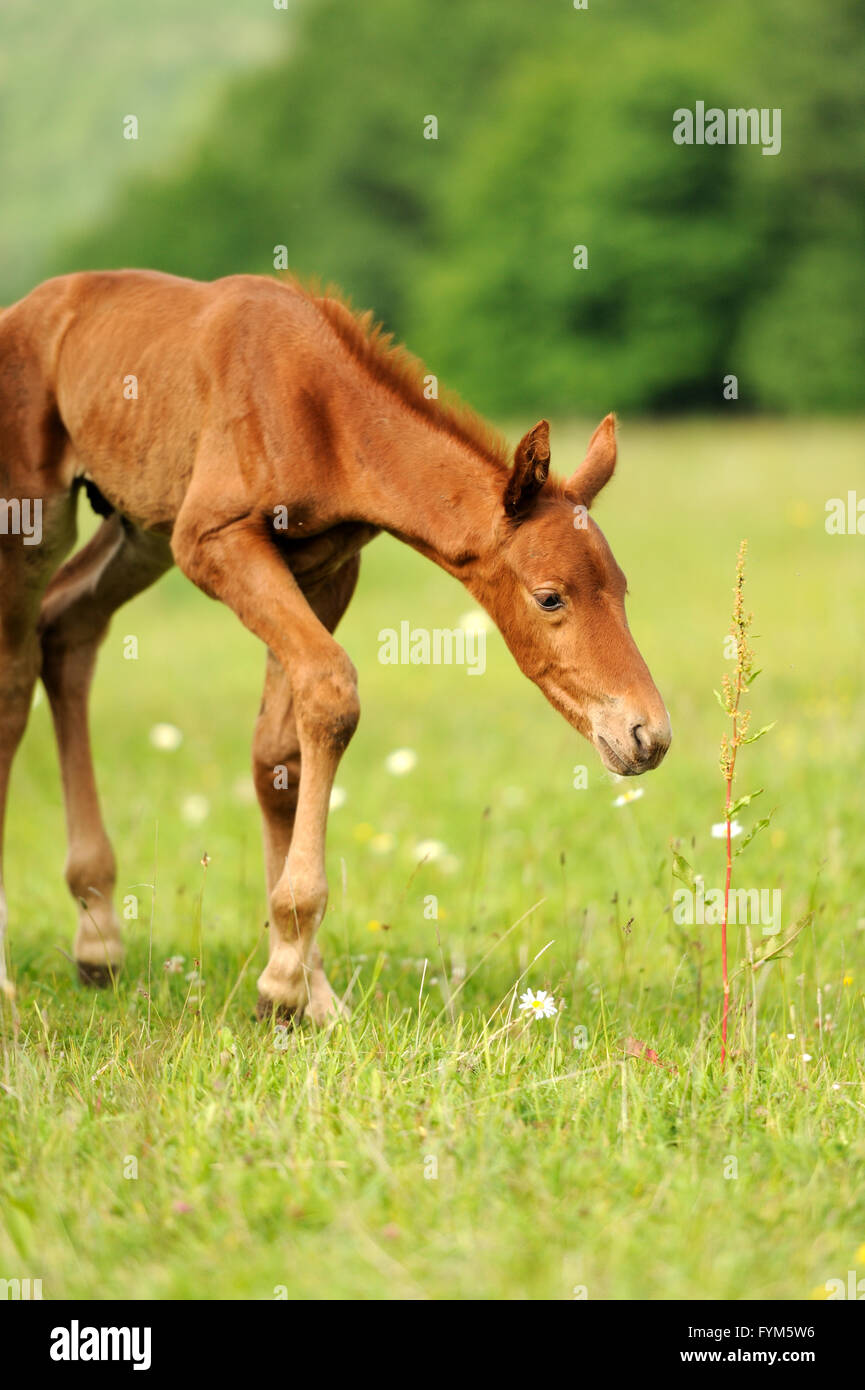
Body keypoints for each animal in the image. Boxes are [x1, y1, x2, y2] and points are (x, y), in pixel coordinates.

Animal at [0, 269, 671, 1020]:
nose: (647, 735)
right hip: (33, 517)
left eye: (621, 589)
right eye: (550, 597)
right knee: (12, 682)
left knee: (67, 626)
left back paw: (98, 937)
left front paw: (302, 988)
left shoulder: (322, 568)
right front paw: (288, 982)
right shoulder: (212, 540)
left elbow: (277, 753)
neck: (319, 408)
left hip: (139, 528)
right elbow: (330, 690)